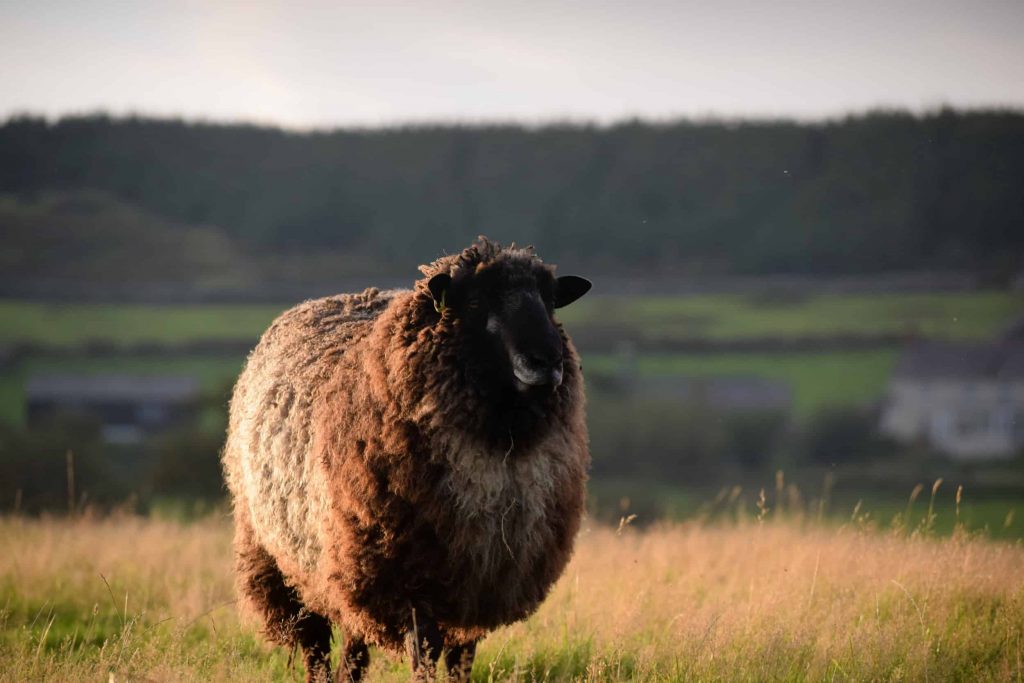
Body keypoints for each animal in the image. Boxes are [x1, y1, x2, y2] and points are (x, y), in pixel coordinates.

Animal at [222, 238, 592, 682]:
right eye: (476, 301)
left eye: (550, 301)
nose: (547, 361)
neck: (500, 439)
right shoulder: (409, 579)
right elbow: (425, 652)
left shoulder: (479, 581)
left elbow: (460, 660)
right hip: (285, 560)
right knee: (315, 646)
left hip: (347, 568)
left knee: (353, 647)